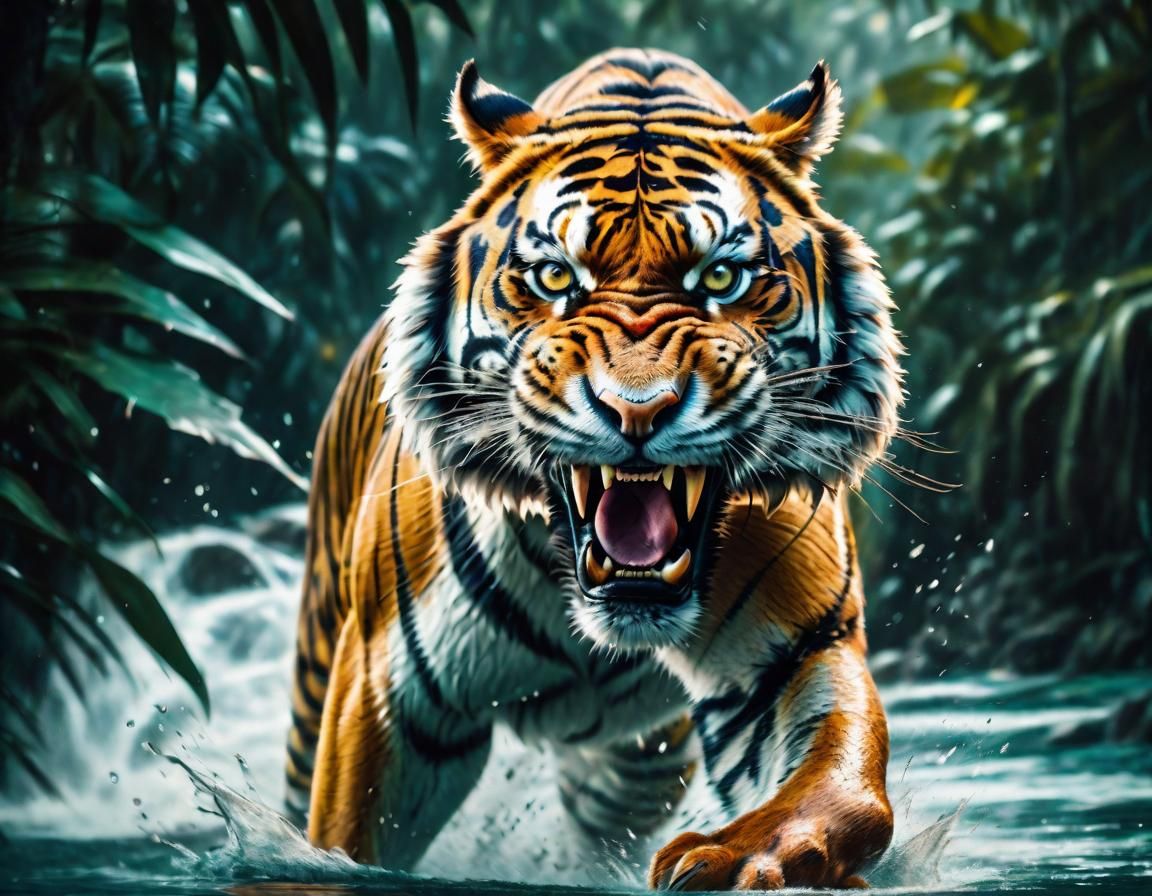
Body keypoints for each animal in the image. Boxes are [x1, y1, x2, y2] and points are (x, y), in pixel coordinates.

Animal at [285, 48, 903, 891]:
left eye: (721, 280)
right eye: (554, 278)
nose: (637, 410)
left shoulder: (800, 650)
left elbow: (842, 781)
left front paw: (749, 856)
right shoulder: (385, 694)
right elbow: (345, 840)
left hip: (634, 770)